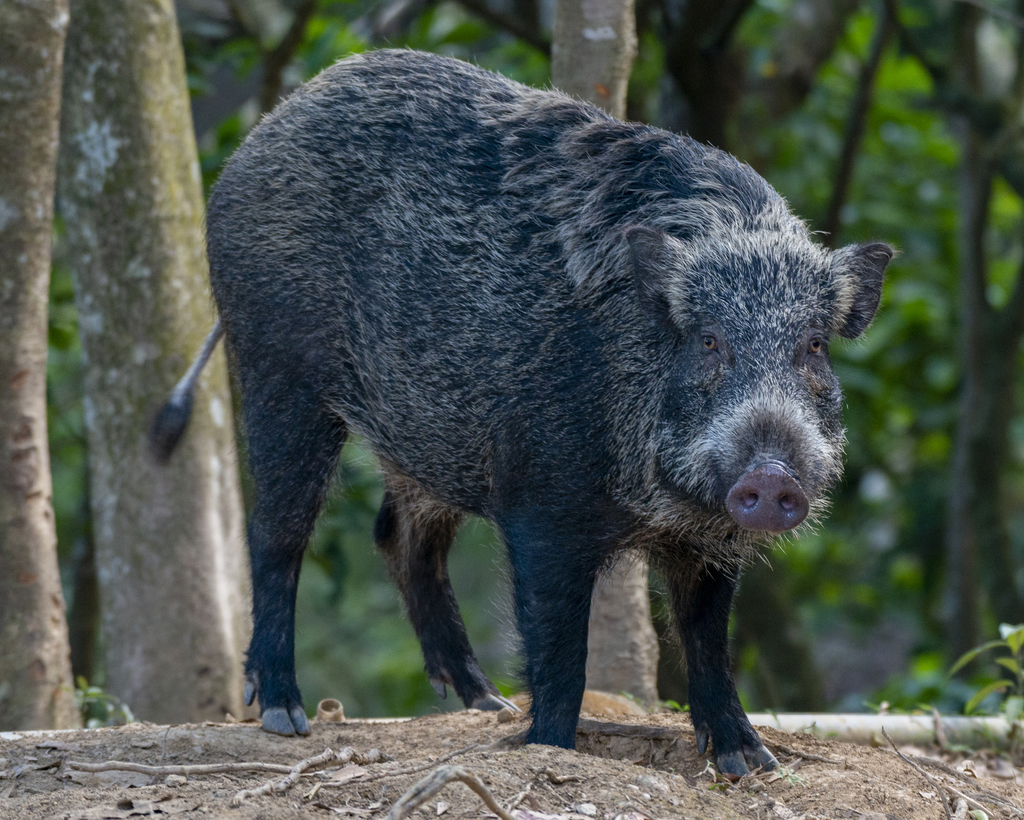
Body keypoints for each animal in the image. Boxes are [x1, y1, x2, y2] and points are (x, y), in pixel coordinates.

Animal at [152, 49, 891, 777]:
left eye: (814, 345)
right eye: (708, 340)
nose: (771, 476)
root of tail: (266, 130)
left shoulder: (709, 538)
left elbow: (708, 639)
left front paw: (751, 763)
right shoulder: (543, 502)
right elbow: (560, 647)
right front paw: (551, 748)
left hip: (426, 432)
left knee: (399, 537)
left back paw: (484, 703)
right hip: (279, 370)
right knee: (276, 532)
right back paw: (285, 714)